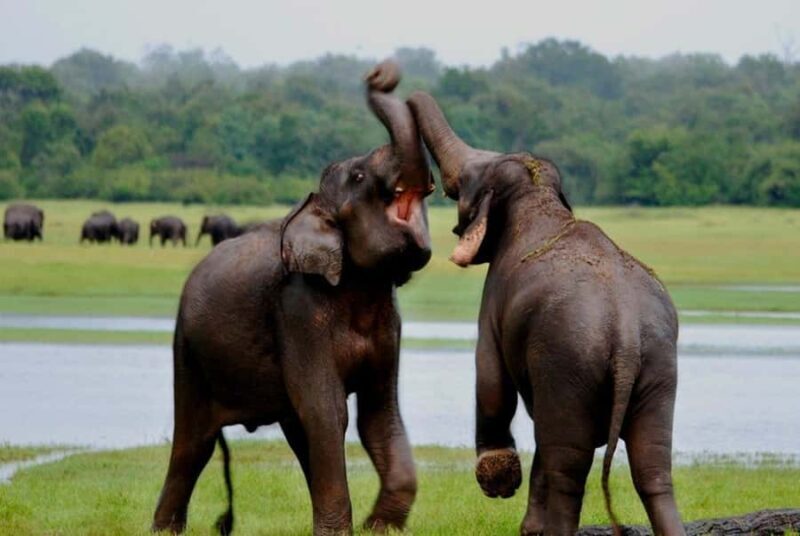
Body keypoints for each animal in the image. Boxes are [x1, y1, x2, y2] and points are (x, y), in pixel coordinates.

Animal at [152, 60, 434, 535]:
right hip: (186, 350)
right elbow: (327, 409)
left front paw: (378, 526)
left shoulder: (389, 322)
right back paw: (163, 530)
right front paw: (347, 531)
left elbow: (378, 413)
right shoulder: (298, 310)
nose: (380, 72)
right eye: (359, 176)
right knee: (194, 443)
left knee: (296, 432)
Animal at [409, 91, 684, 536]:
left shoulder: (493, 299)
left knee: (567, 466)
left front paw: (499, 481)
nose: (380, 78)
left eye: (464, 183)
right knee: (653, 467)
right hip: (660, 367)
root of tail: (625, 331)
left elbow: (490, 377)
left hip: (569, 362)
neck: (538, 196)